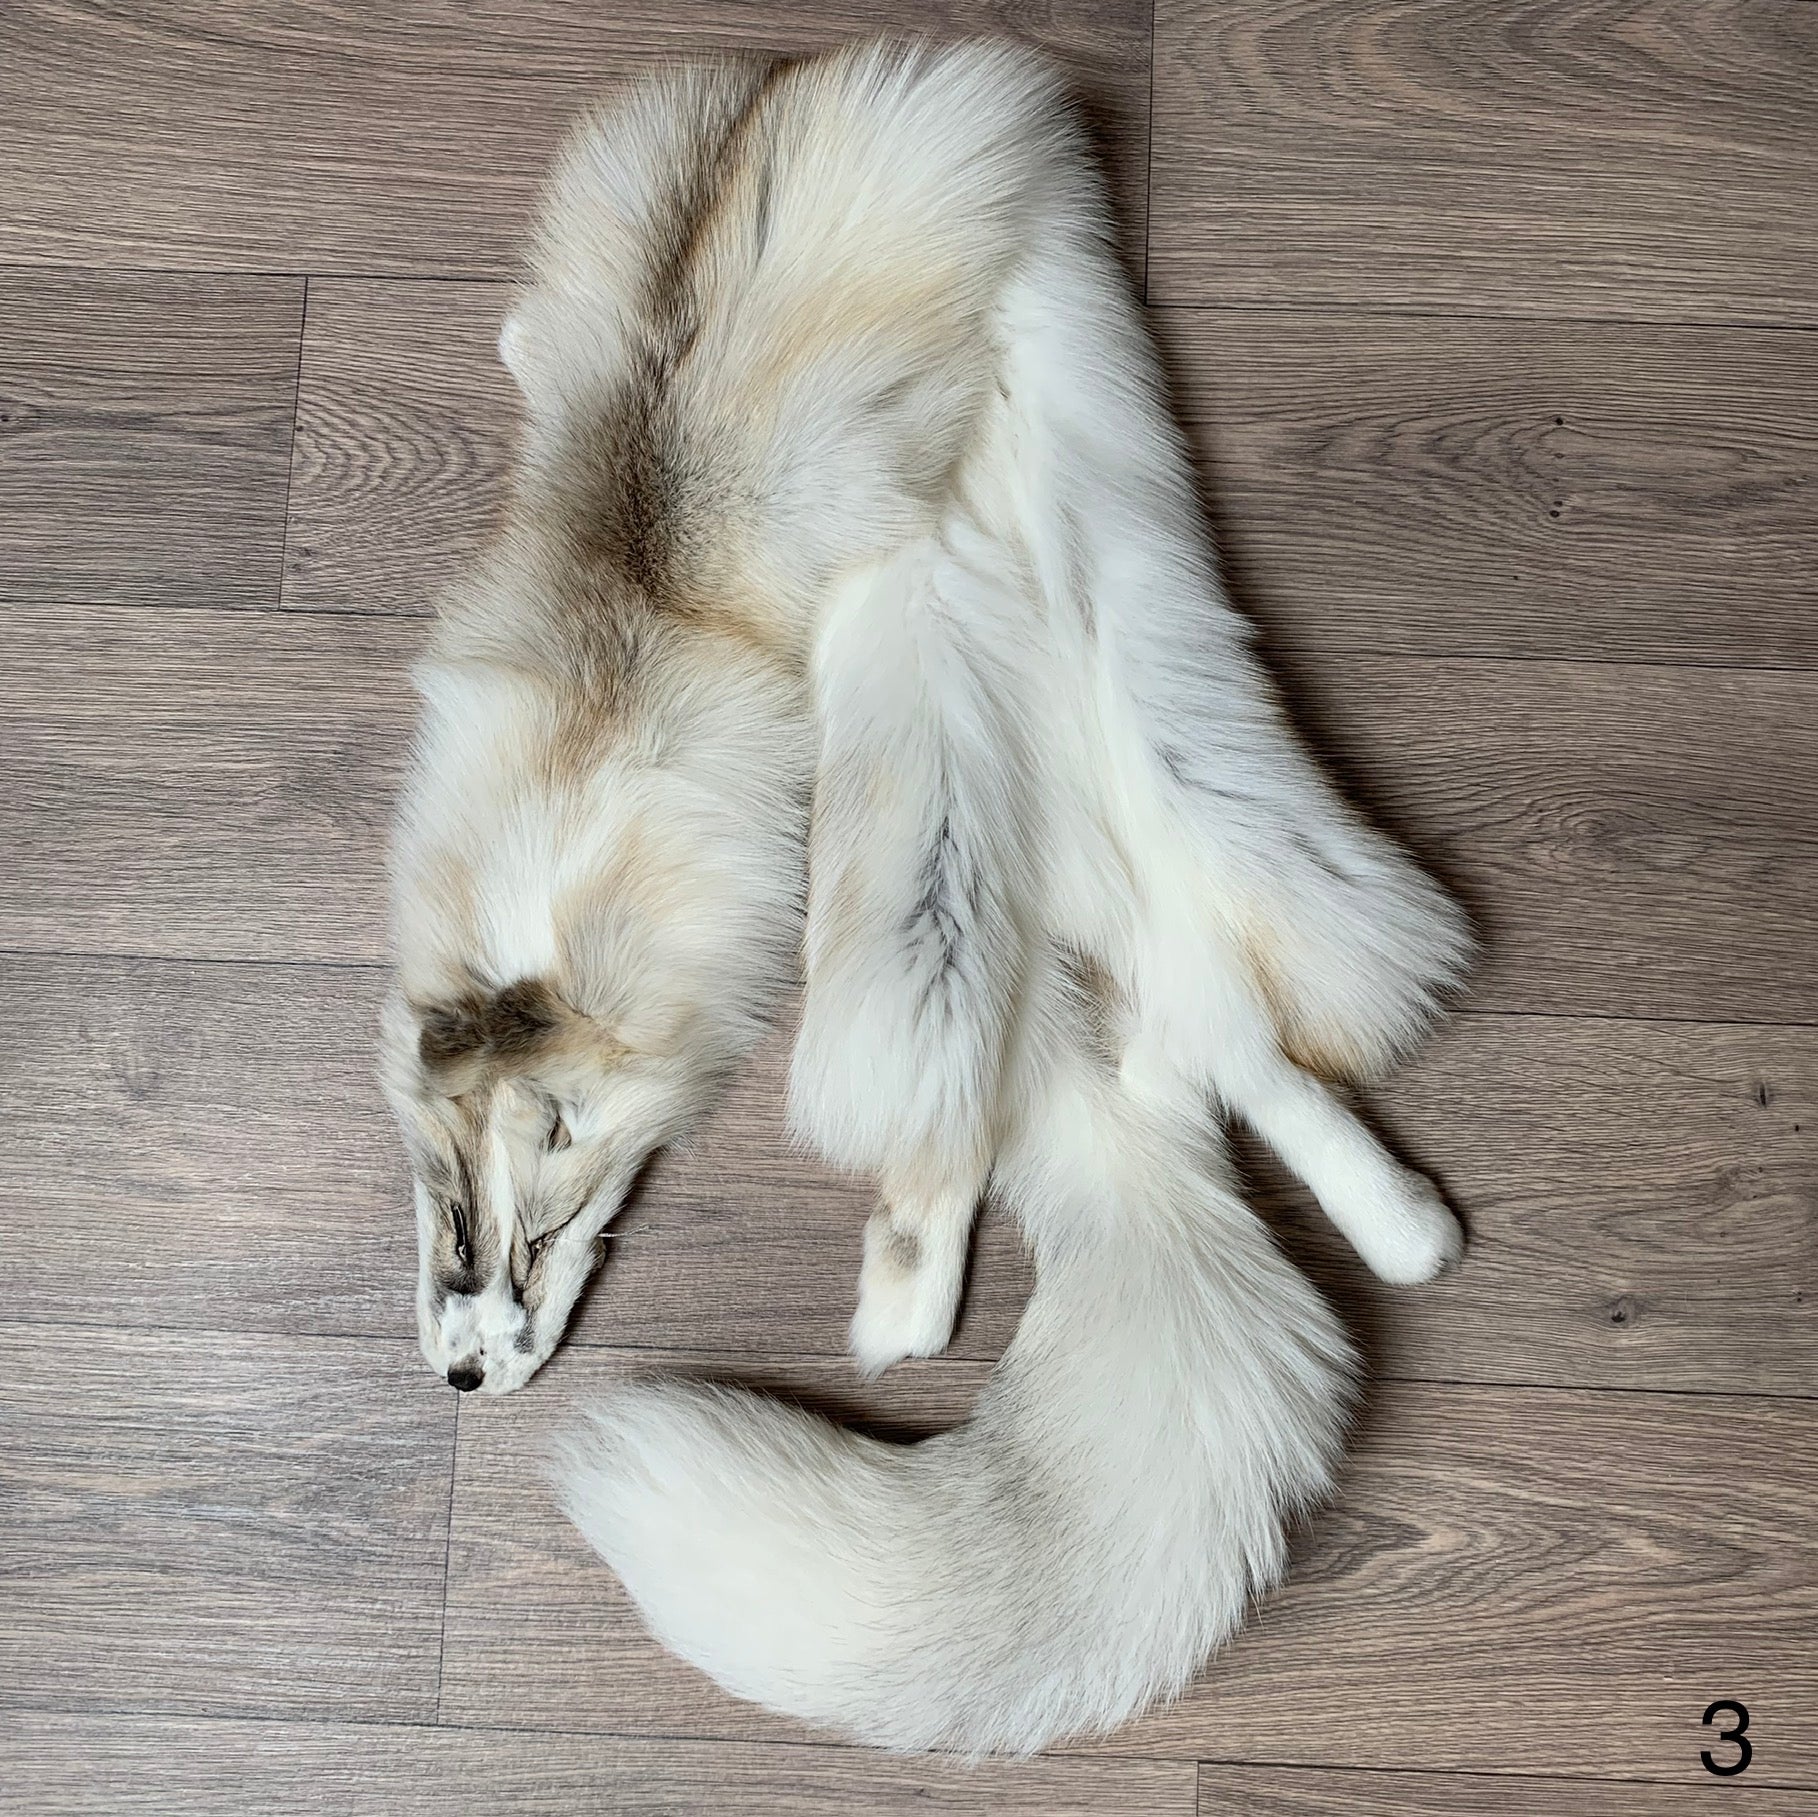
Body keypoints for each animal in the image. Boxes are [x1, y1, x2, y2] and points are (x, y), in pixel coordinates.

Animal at [380, 41, 1472, 1754]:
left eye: (547, 1226)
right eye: (446, 1210)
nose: (465, 1390)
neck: (595, 718)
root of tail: (807, 68)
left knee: (1202, 1025)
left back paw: (1387, 1221)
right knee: (1151, 1048)